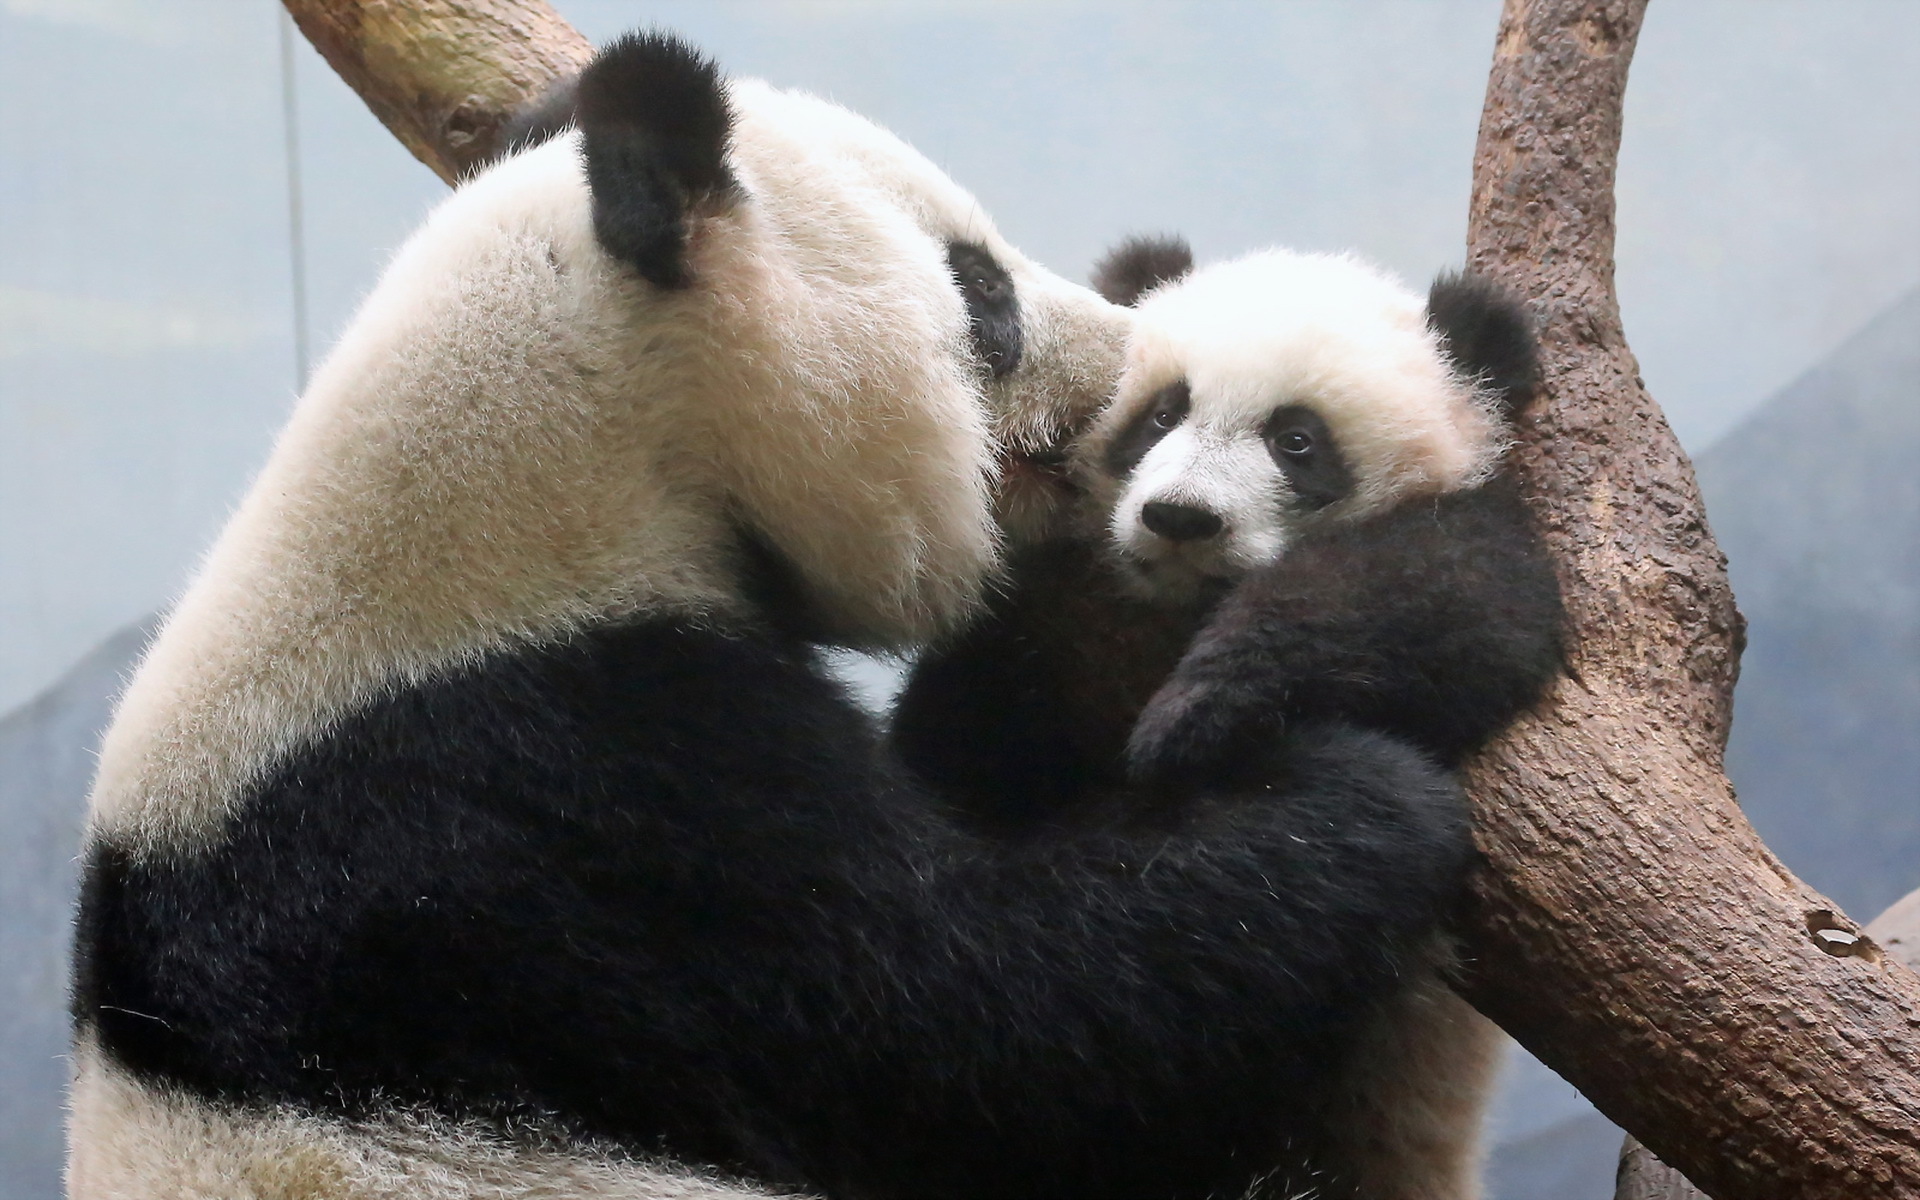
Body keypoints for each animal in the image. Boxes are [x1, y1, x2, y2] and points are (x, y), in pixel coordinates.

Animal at [894, 239, 1564, 1199]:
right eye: (1162, 412)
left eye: (1296, 440)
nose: (1180, 518)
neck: (1169, 612)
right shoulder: (1050, 622)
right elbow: (961, 752)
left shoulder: (1475, 536)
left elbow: (1452, 599)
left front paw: (1202, 708)